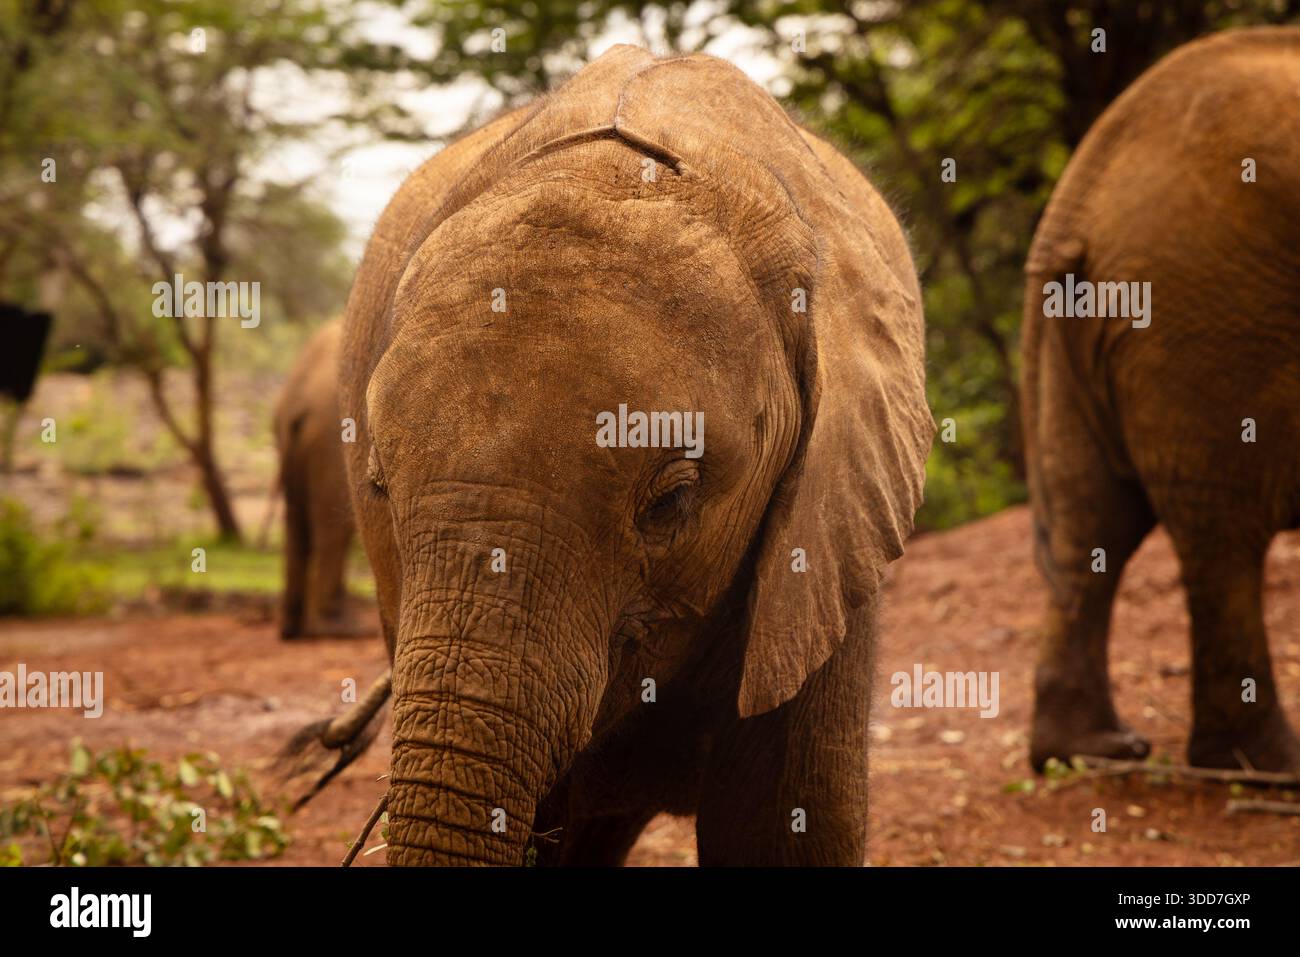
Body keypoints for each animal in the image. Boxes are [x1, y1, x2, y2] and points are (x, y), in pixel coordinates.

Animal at [1022, 27, 1300, 772]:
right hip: (1209, 314)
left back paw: (1088, 751)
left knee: (1093, 522)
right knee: (1225, 533)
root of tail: (1080, 196)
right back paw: (1265, 767)